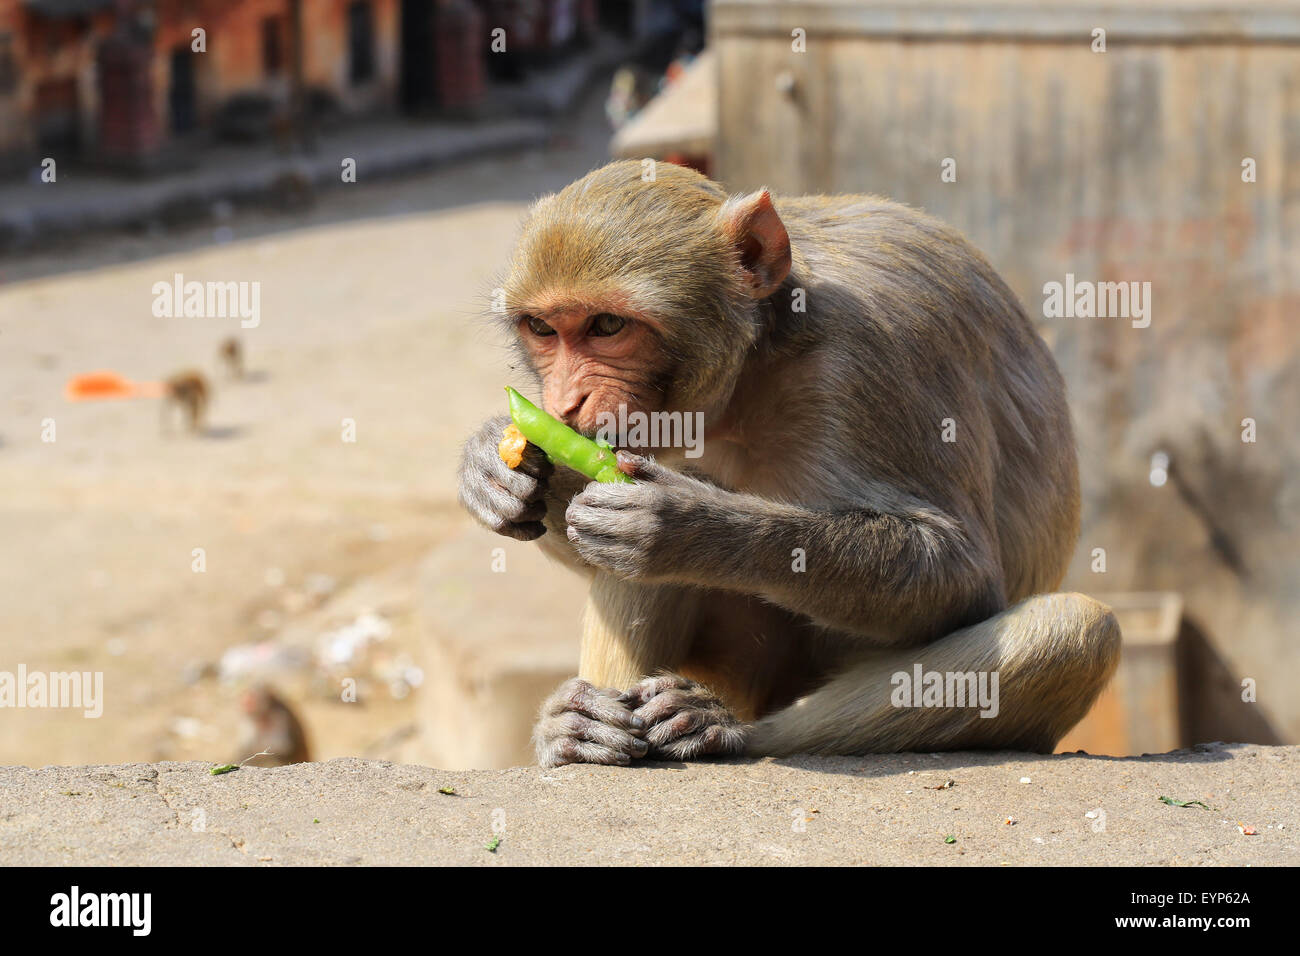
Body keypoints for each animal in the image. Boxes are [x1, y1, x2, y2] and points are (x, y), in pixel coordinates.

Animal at [457, 160, 1121, 768]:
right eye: (542, 328)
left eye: (608, 325)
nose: (564, 403)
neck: (756, 360)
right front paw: (490, 470)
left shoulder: (868, 359)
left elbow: (964, 574)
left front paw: (682, 525)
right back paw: (579, 729)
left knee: (1076, 633)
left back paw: (726, 729)